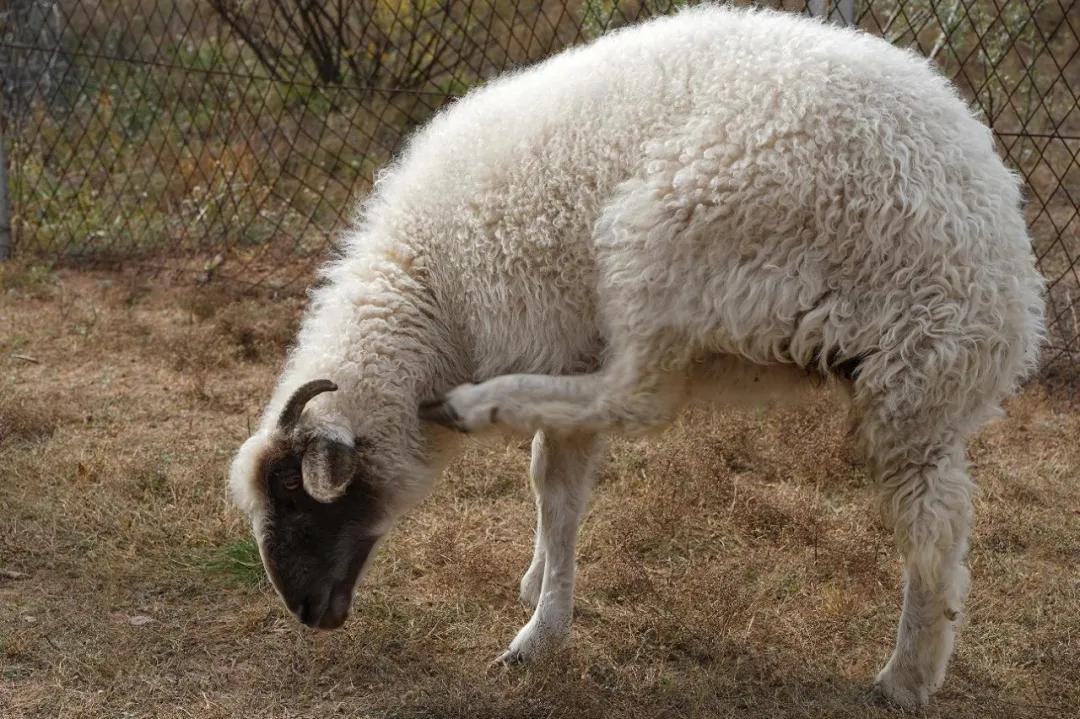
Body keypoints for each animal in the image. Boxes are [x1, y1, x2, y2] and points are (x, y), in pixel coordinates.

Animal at [228, 5, 1045, 710]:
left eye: (296, 495)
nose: (307, 612)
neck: (434, 300)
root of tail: (999, 232)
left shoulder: (556, 335)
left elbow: (559, 492)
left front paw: (539, 633)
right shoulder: (568, 347)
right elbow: (548, 482)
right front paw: (536, 583)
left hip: (670, 231)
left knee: (642, 395)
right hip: (918, 382)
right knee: (939, 523)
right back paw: (918, 667)